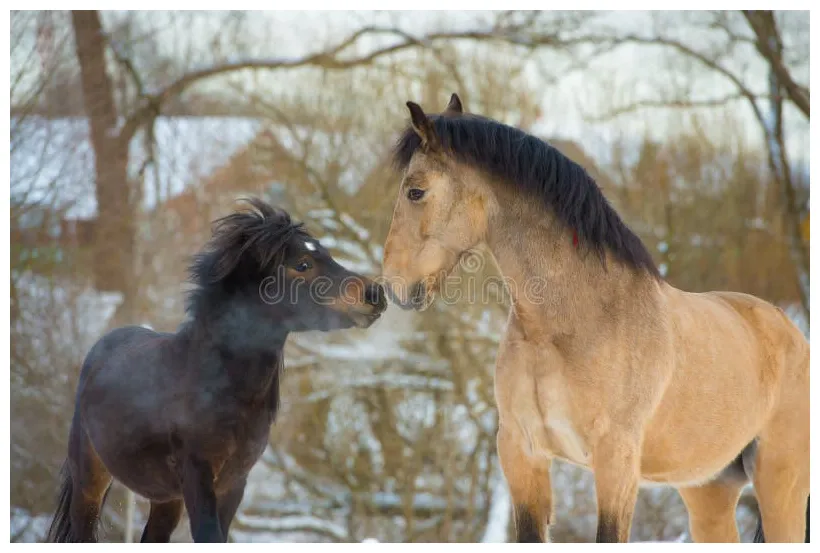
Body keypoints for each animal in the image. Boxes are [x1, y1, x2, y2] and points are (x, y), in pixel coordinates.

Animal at [46, 198, 387, 543]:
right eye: (302, 265)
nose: (375, 295)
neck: (216, 387)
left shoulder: (233, 483)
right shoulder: (197, 476)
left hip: (166, 499)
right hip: (90, 482)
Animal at [379, 94, 809, 543]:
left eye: (415, 191)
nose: (393, 286)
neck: (573, 323)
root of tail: (790, 331)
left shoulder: (615, 464)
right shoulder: (522, 454)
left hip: (780, 485)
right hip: (708, 491)